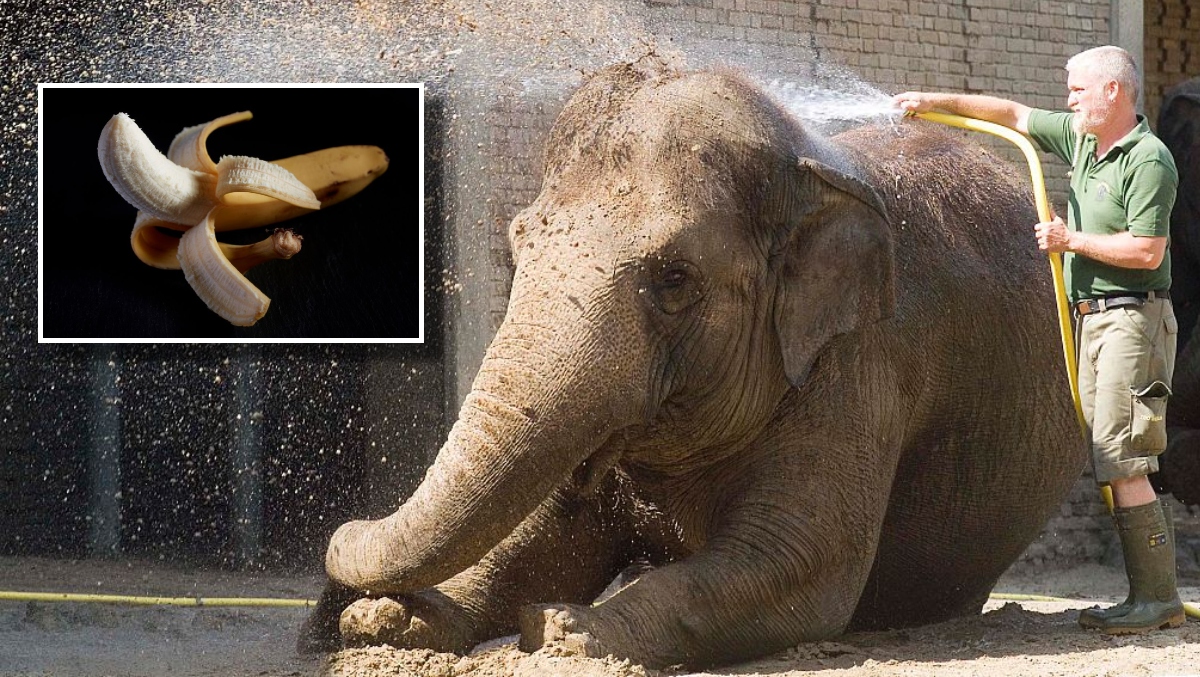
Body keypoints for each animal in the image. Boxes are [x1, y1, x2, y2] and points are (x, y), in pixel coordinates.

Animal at [298, 62, 1084, 669]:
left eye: (674, 278)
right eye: (519, 246)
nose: (338, 530)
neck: (808, 168)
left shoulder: (866, 363)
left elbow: (801, 559)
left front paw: (565, 629)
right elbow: (540, 543)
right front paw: (384, 623)